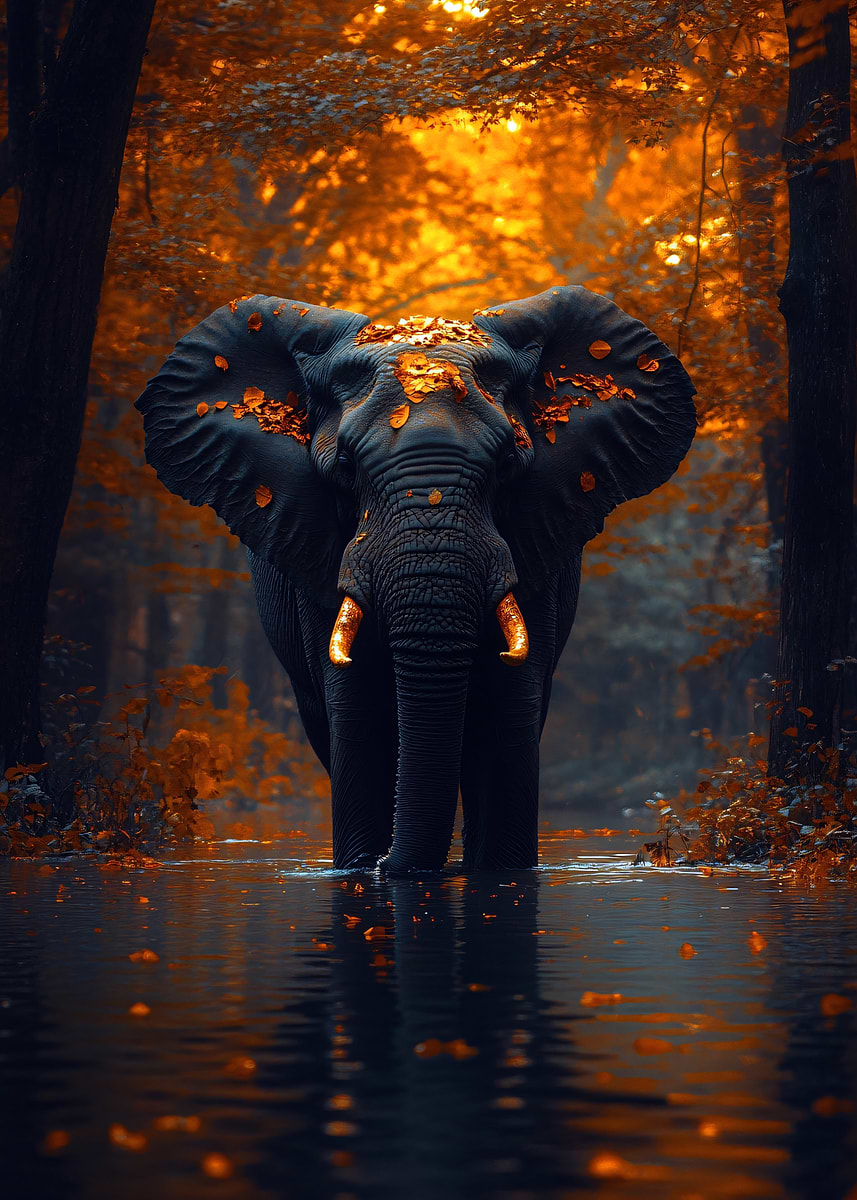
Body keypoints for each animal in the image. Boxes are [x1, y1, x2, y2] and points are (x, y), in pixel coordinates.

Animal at [135, 285, 696, 874]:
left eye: (506, 464)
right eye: (347, 467)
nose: (386, 864)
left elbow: (509, 712)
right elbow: (357, 712)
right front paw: (363, 868)